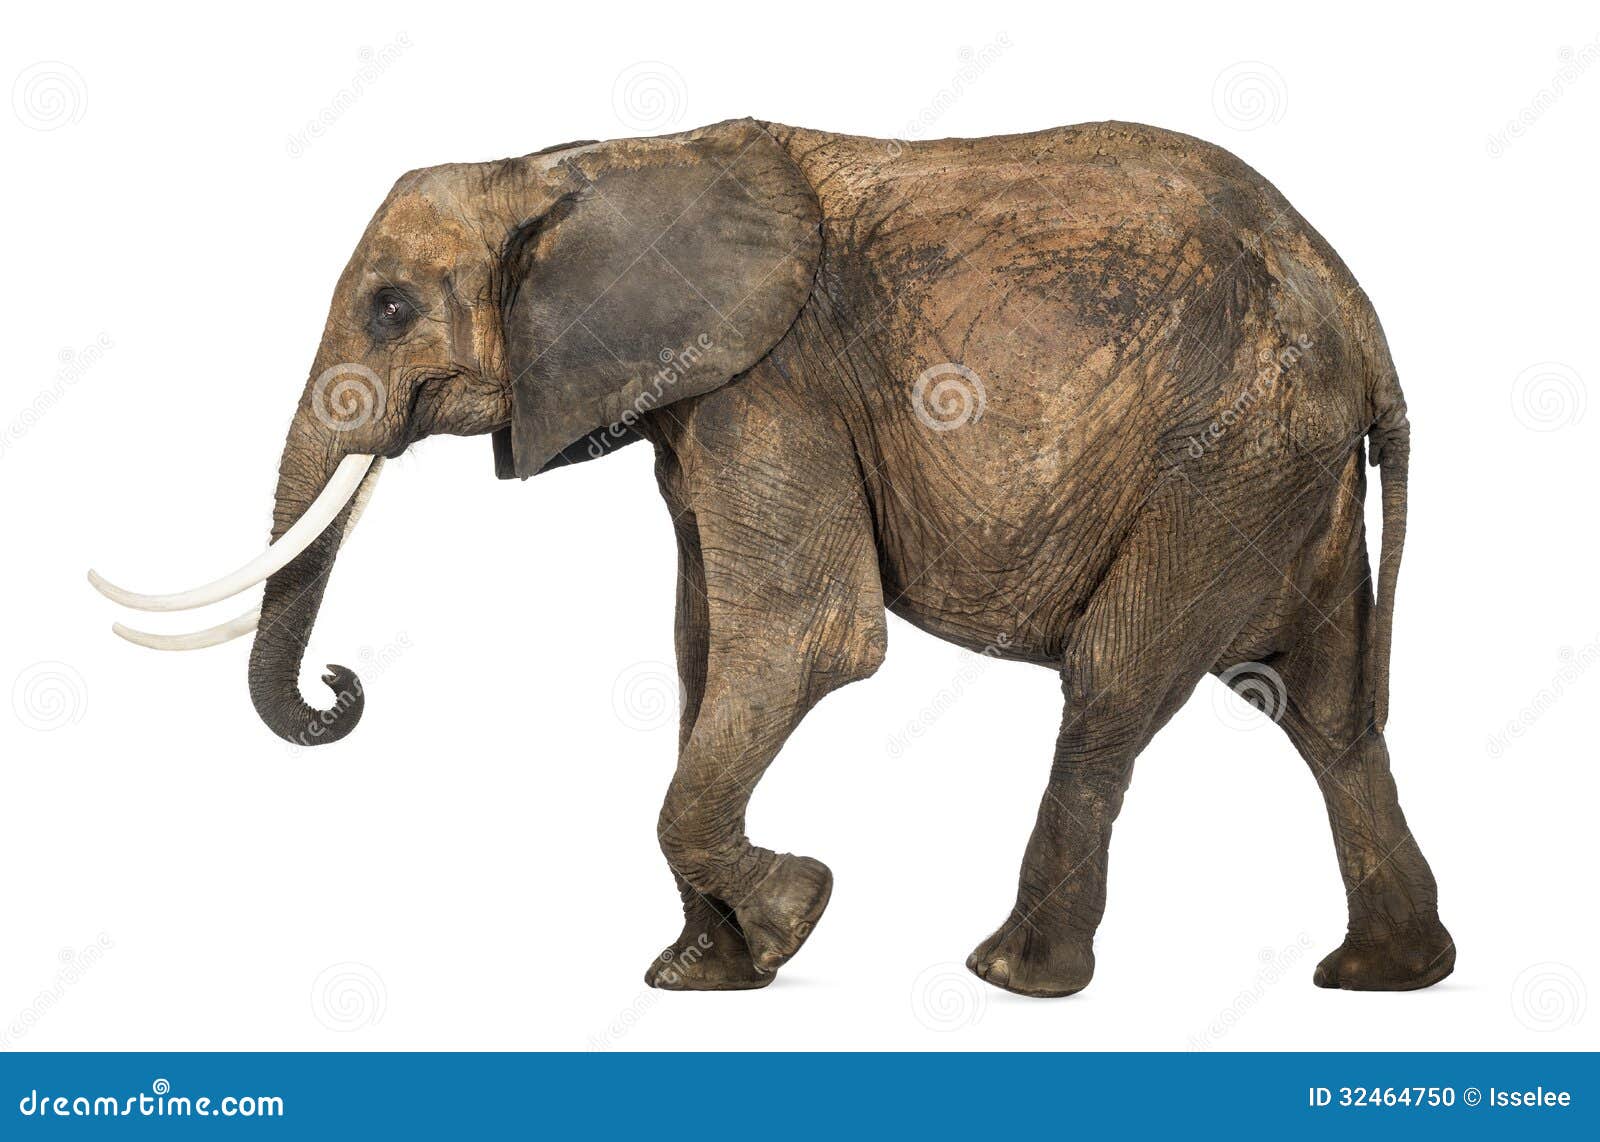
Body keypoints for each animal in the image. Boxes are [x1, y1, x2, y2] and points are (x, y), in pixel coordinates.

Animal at [92, 117, 1453, 998]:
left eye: (387, 307)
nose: (341, 686)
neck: (572, 160)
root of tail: (1362, 315)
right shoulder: (701, 403)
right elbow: (705, 652)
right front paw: (703, 974)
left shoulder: (774, 384)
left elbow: (805, 639)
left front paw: (795, 909)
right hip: (1283, 470)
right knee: (1324, 711)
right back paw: (1384, 976)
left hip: (1222, 453)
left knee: (1115, 683)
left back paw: (1012, 976)